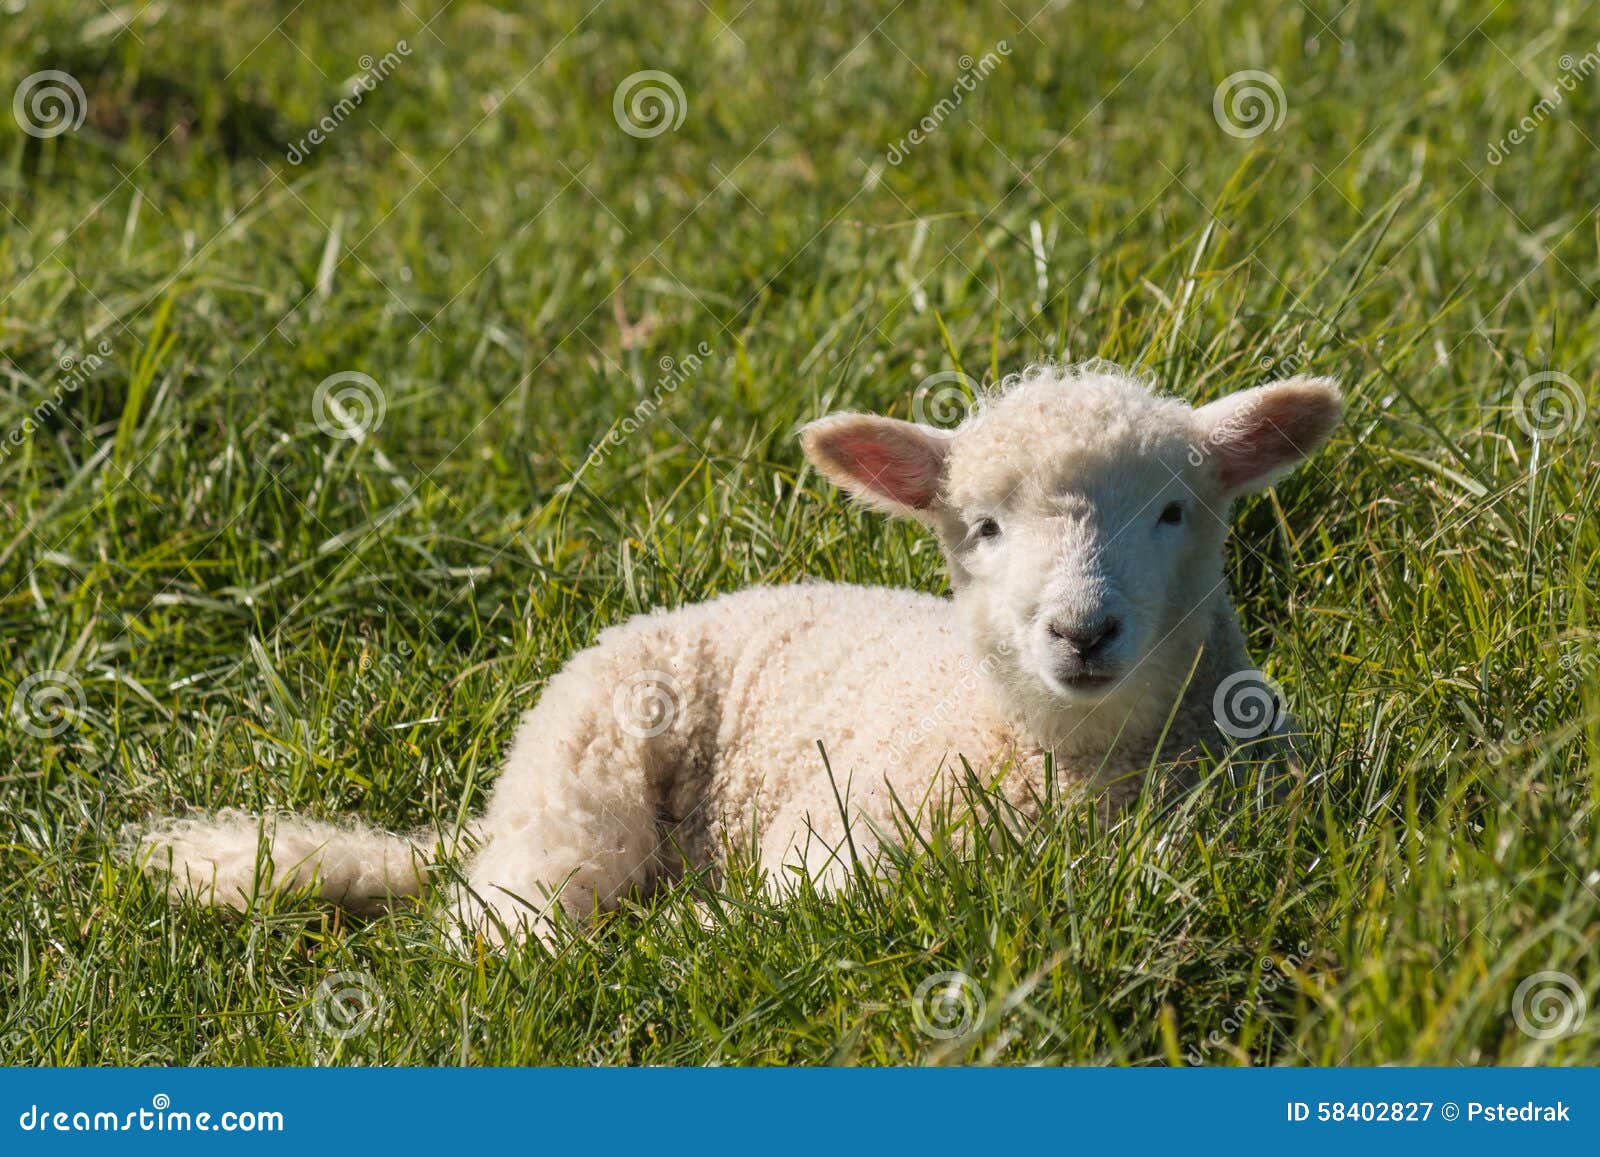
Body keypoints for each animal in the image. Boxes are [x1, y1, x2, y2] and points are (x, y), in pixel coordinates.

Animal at [131, 362, 1342, 947]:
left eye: (1176, 511)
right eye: (982, 527)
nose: (1082, 630)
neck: (1055, 758)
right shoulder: (833, 841)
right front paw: (700, 931)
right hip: (582, 787)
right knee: (497, 923)